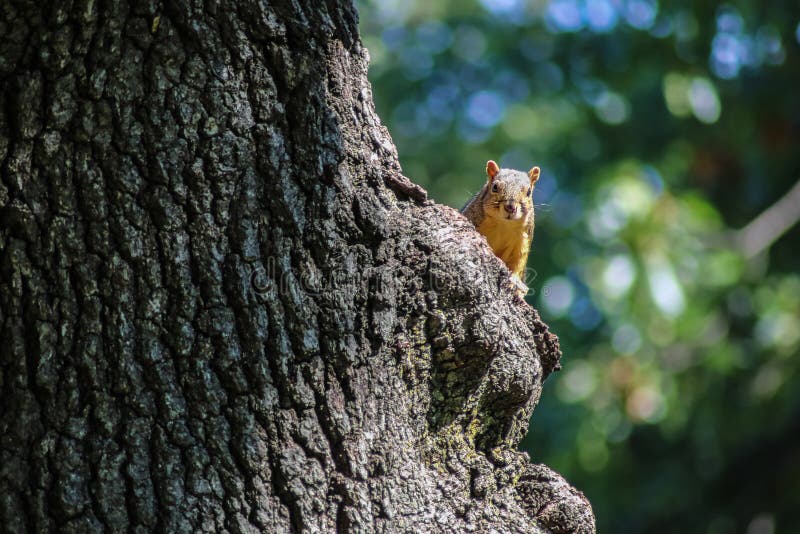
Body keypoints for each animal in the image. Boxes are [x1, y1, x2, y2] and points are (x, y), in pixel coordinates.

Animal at [461, 160, 540, 298]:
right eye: (495, 187)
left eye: (529, 192)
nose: (510, 207)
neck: (504, 224)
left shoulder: (523, 240)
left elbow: (518, 261)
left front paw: (514, 282)